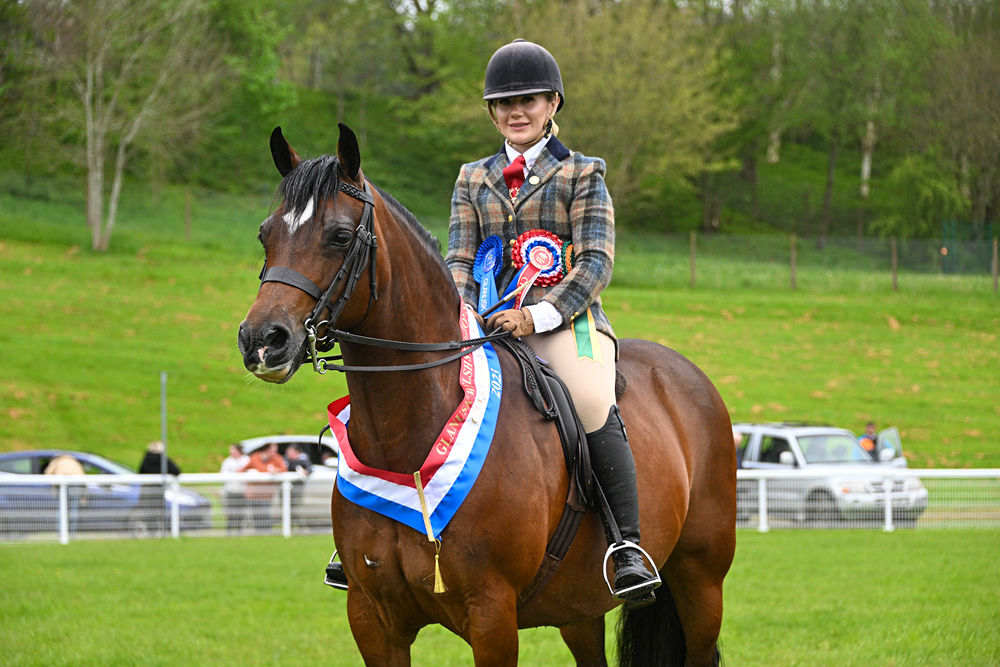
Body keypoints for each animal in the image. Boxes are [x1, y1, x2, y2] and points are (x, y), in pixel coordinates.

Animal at [238, 123, 736, 666]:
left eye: (340, 236)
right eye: (265, 233)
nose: (262, 340)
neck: (408, 445)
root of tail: (685, 372)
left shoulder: (492, 612)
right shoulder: (372, 617)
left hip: (701, 582)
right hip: (579, 605)